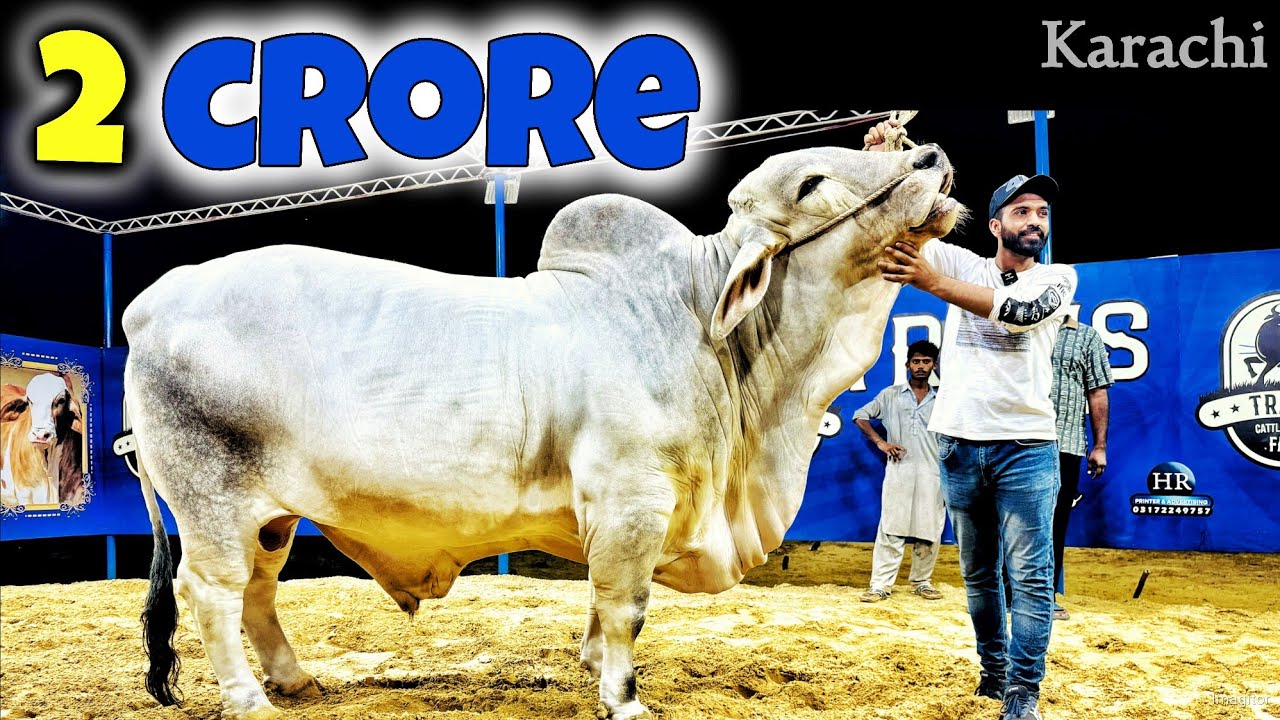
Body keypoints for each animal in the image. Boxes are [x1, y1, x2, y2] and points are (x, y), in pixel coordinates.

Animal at [122, 143, 962, 720]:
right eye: (812, 183)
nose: (927, 155)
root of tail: (150, 303)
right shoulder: (632, 500)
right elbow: (626, 604)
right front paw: (623, 698)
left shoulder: (625, 515)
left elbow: (601, 604)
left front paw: (594, 669)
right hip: (212, 497)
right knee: (212, 593)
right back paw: (249, 700)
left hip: (272, 516)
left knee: (259, 593)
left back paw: (295, 680)